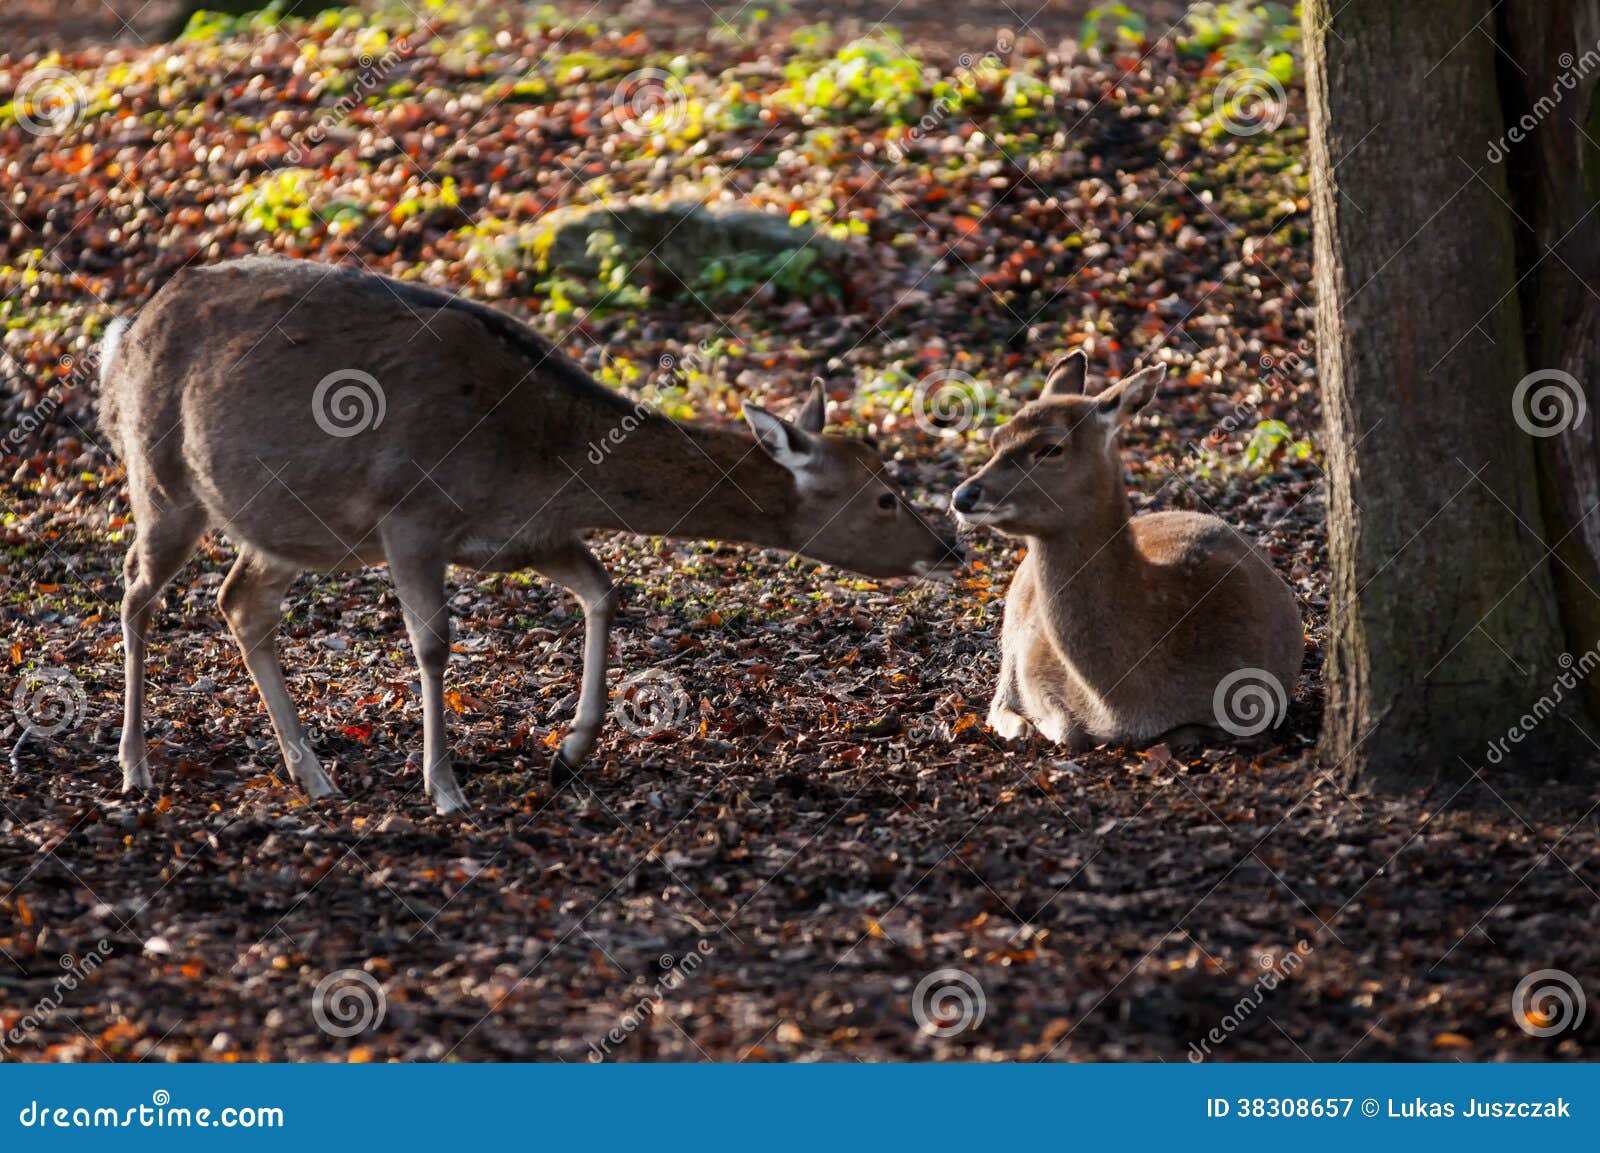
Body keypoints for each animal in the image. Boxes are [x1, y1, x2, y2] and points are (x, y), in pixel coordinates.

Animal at [99, 256, 962, 814]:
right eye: (885, 497)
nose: (950, 545)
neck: (541, 456)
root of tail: (127, 326)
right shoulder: (412, 515)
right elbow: (434, 643)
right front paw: (446, 788)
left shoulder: (527, 535)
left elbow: (602, 590)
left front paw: (568, 753)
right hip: (161, 476)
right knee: (137, 590)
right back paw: (136, 767)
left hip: (290, 528)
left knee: (239, 601)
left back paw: (313, 775)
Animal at [950, 350, 1302, 751]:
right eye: (996, 439)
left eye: (1051, 447)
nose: (963, 495)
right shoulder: (1030, 661)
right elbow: (1065, 729)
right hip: (1011, 627)